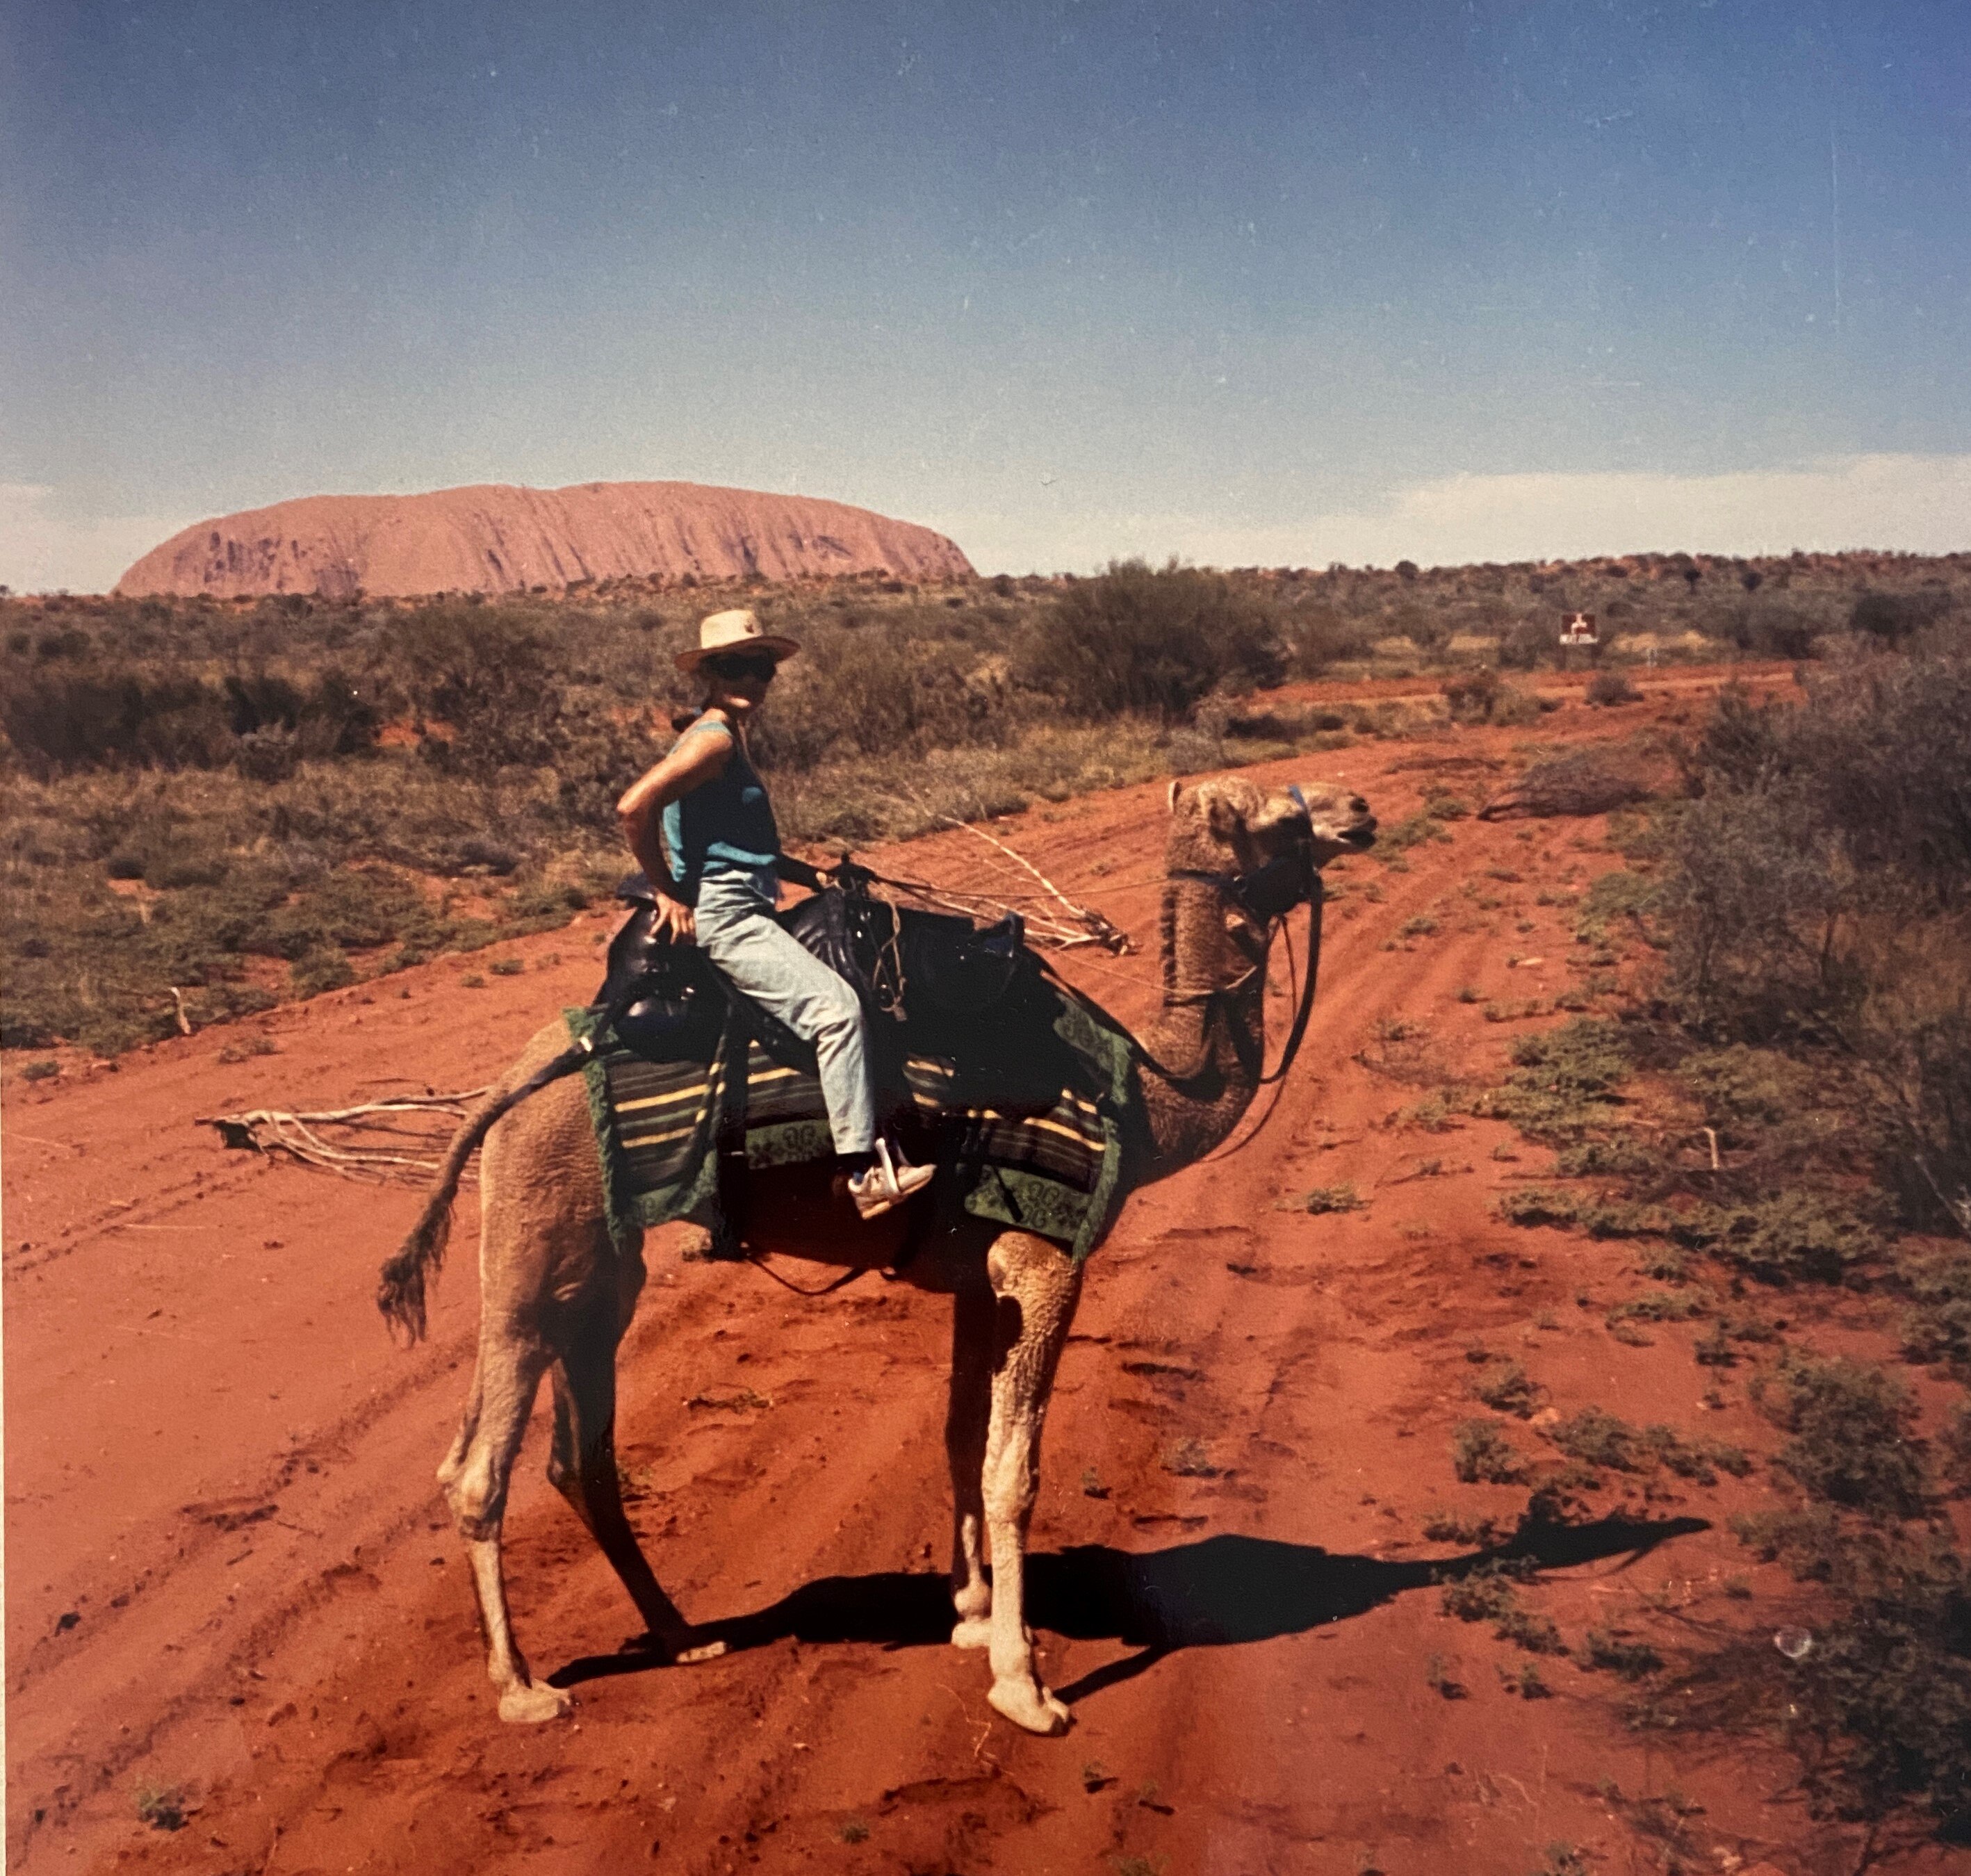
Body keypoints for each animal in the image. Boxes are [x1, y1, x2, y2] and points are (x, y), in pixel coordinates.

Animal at [376, 774, 1375, 1734]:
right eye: (1274, 815)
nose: (1359, 809)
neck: (1143, 1094)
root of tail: (510, 1082)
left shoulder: (982, 1271)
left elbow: (960, 1435)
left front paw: (969, 1611)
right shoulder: (1045, 1261)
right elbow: (1014, 1471)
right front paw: (1023, 1684)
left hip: (595, 1263)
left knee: (573, 1452)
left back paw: (683, 1634)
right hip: (536, 1228)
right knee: (479, 1465)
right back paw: (524, 1688)